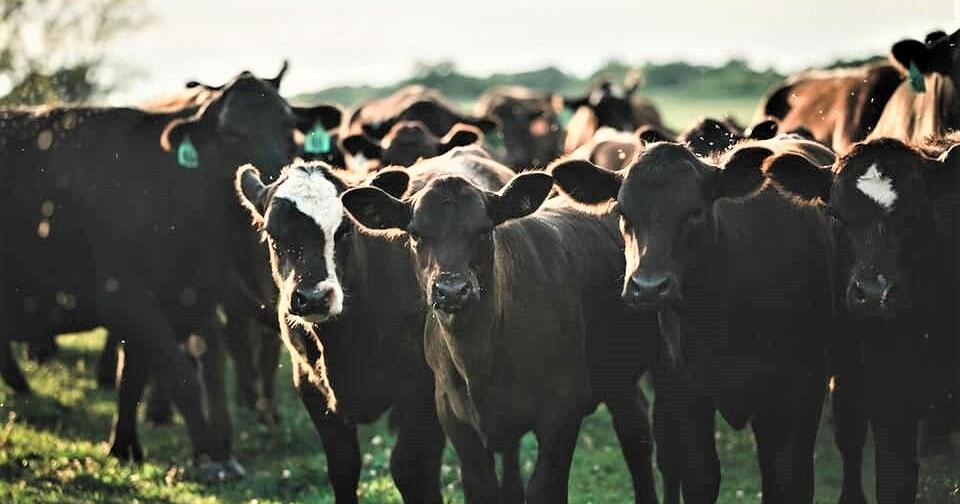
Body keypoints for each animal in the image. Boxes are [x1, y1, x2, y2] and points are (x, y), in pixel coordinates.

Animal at [0, 69, 338, 480]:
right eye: (231, 134)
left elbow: (145, 373)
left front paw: (125, 447)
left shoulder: (191, 293)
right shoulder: (125, 296)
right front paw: (213, 456)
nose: (274, 192)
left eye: (289, 129)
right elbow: (181, 373)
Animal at [234, 149, 514, 503]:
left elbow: (411, 469)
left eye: (344, 231)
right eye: (274, 235)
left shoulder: (423, 391)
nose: (313, 297)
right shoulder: (311, 388)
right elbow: (343, 467)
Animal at [342, 165, 661, 503]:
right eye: (415, 234)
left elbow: (545, 488)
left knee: (637, 434)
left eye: (483, 230)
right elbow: (481, 487)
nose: (451, 289)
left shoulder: (562, 411)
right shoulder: (455, 419)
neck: (481, 357)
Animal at [551, 136, 837, 503]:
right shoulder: (685, 386)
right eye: (622, 213)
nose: (648, 287)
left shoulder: (803, 386)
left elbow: (790, 479)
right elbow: (700, 476)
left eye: (695, 212)